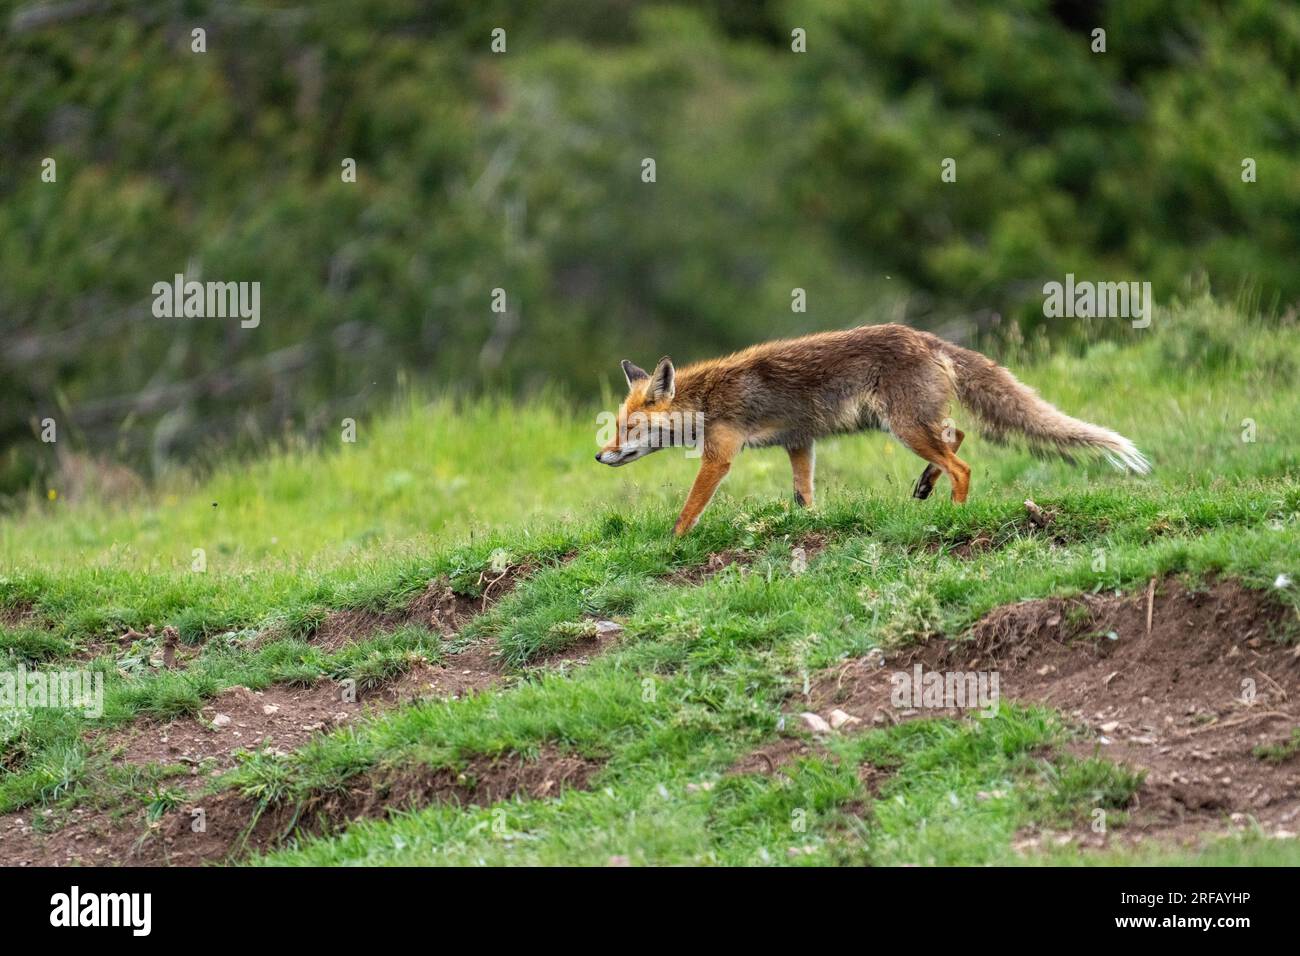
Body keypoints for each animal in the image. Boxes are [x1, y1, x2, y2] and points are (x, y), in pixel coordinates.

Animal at [596, 323, 1149, 536]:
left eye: (629, 427)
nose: (600, 457)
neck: (706, 400)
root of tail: (926, 336)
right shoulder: (800, 443)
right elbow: (803, 497)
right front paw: (809, 524)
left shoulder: (720, 456)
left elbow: (688, 510)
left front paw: (672, 543)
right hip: (915, 424)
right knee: (956, 438)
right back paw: (925, 484)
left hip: (903, 427)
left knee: (963, 465)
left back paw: (954, 515)